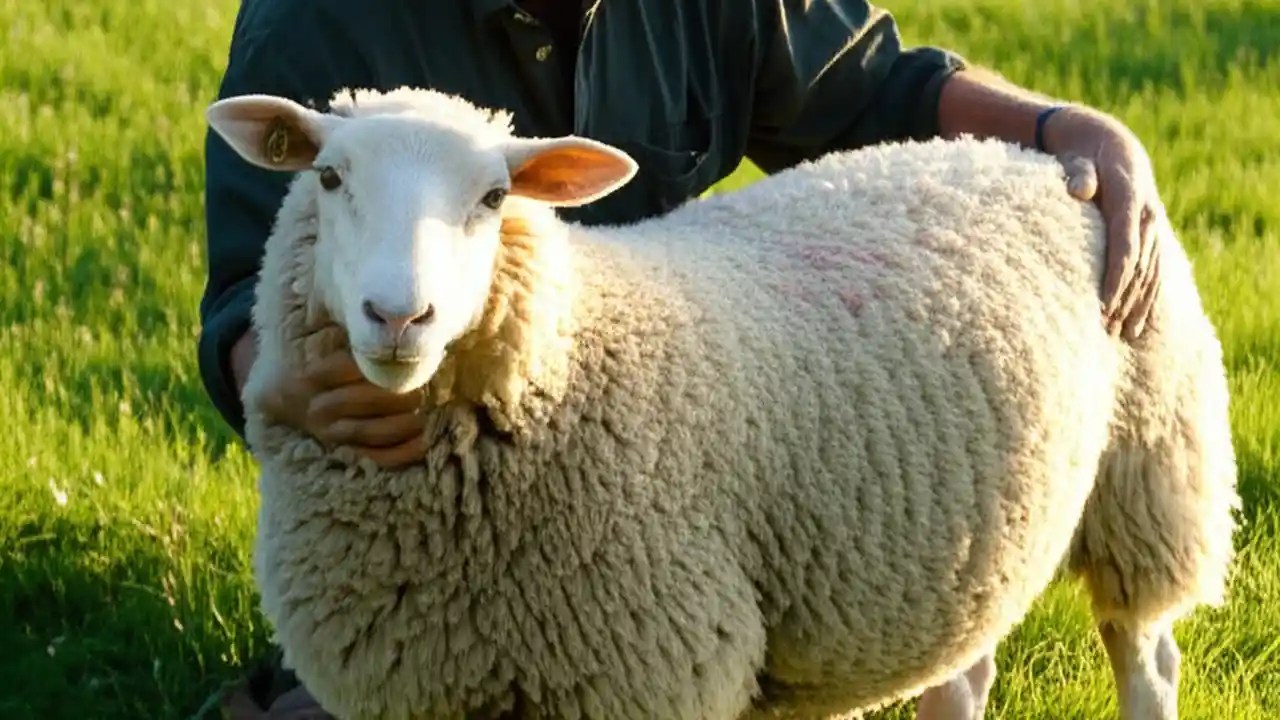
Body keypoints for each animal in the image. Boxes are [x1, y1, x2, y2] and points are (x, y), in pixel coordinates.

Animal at [204, 85, 1240, 720]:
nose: (398, 316)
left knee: (1148, 655)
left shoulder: (647, 673)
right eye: (328, 177)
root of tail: (1025, 156)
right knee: (965, 668)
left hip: (1152, 473)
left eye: (495, 197)